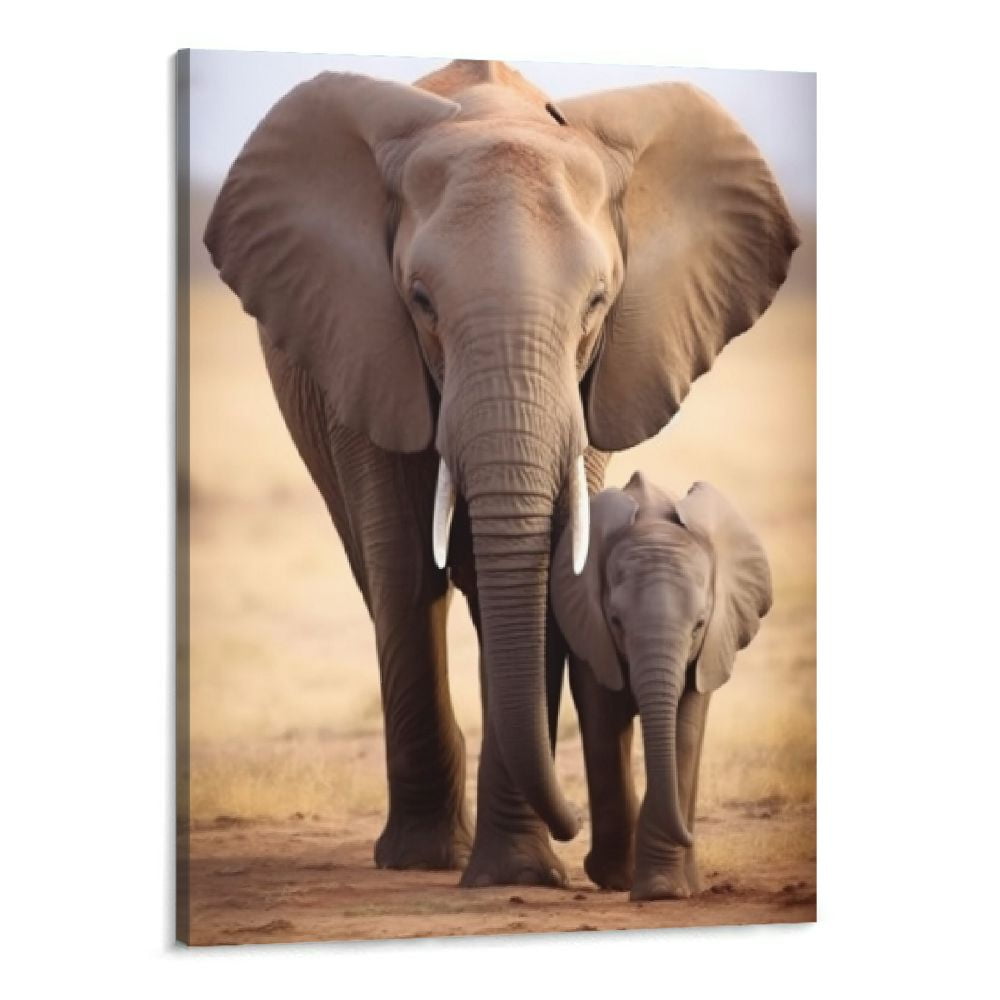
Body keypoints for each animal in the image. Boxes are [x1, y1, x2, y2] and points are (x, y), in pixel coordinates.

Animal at [551, 472, 772, 900]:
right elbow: (602, 727)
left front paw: (662, 891)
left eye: (699, 624)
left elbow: (683, 735)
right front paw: (621, 880)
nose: (690, 833)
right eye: (616, 621)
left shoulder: (709, 648)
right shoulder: (590, 633)